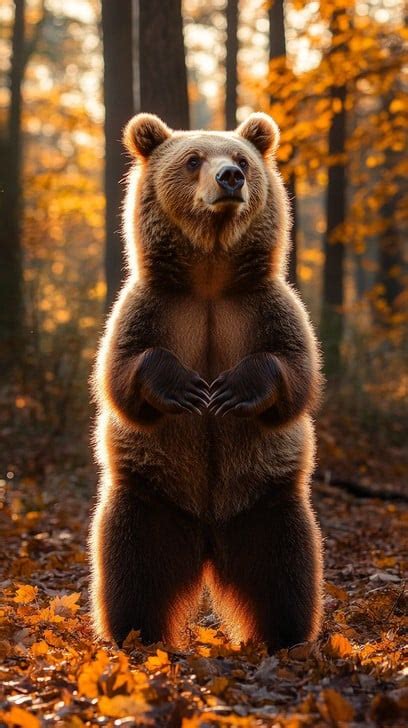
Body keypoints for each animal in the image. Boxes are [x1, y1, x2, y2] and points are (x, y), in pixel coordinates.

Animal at [90, 112, 324, 652]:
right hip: (150, 499)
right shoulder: (154, 306)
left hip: (266, 503)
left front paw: (230, 389)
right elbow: (119, 374)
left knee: (286, 570)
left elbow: (296, 372)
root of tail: (210, 539)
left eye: (241, 159)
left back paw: (287, 637)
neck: (210, 278)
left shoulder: (264, 306)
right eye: (193, 159)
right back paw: (135, 635)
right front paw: (190, 389)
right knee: (132, 568)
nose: (230, 178)